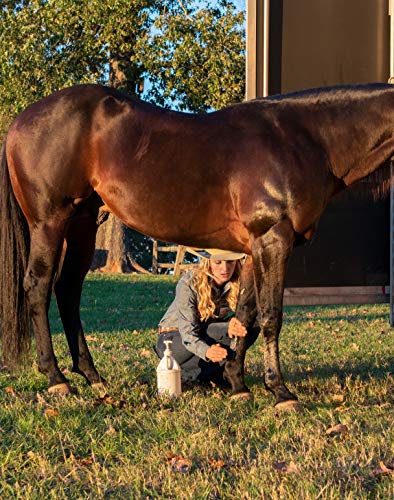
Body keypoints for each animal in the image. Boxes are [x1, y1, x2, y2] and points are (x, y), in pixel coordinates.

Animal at [0, 83, 394, 410]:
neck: (305, 139)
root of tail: (22, 119)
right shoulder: (273, 240)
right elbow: (271, 316)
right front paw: (280, 392)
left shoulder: (252, 250)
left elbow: (244, 317)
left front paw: (237, 383)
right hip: (49, 223)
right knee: (38, 287)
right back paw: (56, 379)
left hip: (83, 224)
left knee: (68, 290)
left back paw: (93, 377)